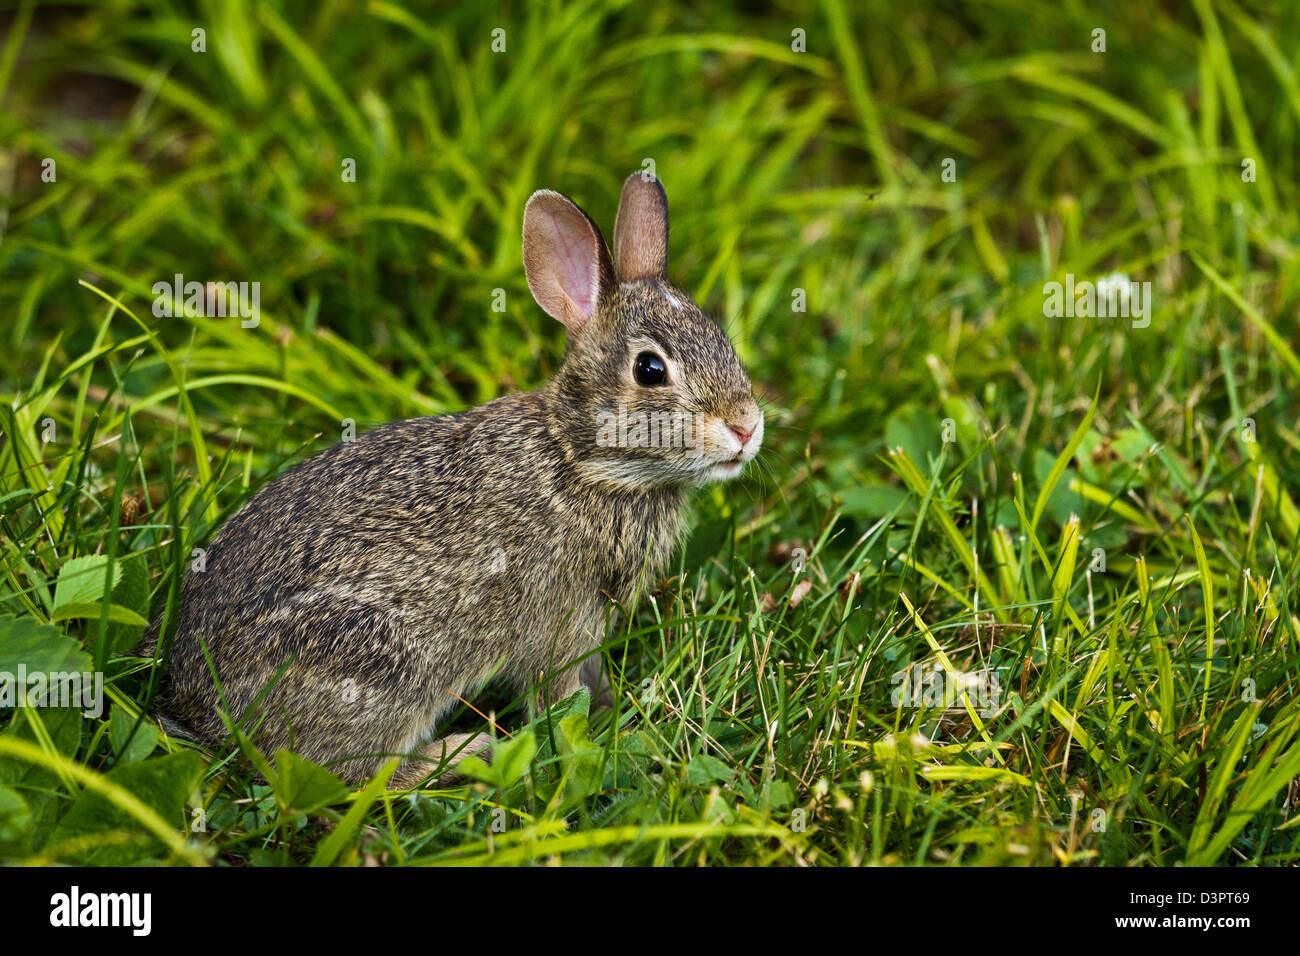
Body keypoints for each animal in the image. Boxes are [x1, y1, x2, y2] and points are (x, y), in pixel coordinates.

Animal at [140, 171, 764, 788]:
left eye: (723, 340)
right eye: (650, 370)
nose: (747, 426)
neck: (581, 460)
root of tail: (200, 705)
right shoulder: (557, 629)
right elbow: (559, 699)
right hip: (381, 665)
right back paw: (472, 749)